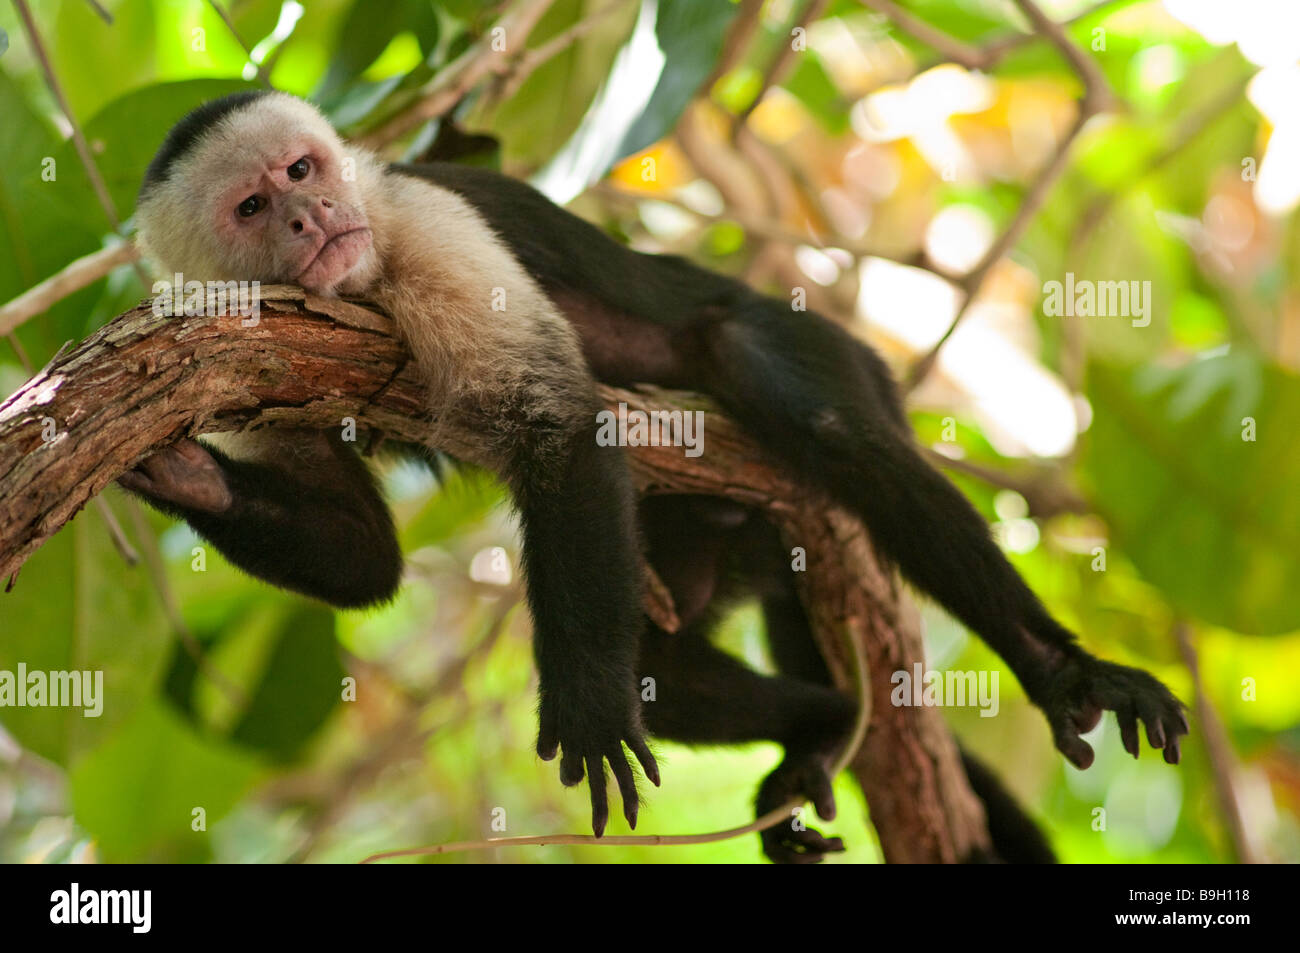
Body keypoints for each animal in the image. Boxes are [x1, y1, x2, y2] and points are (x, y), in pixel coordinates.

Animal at [119, 91, 1188, 853]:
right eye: (254, 206)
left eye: (303, 169)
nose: (312, 214)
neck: (359, 273)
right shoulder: (254, 340)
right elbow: (364, 559)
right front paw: (175, 473)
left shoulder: (424, 221)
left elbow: (558, 422)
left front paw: (589, 702)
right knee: (669, 671)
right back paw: (822, 724)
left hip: (828, 362)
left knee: (805, 405)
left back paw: (1057, 668)